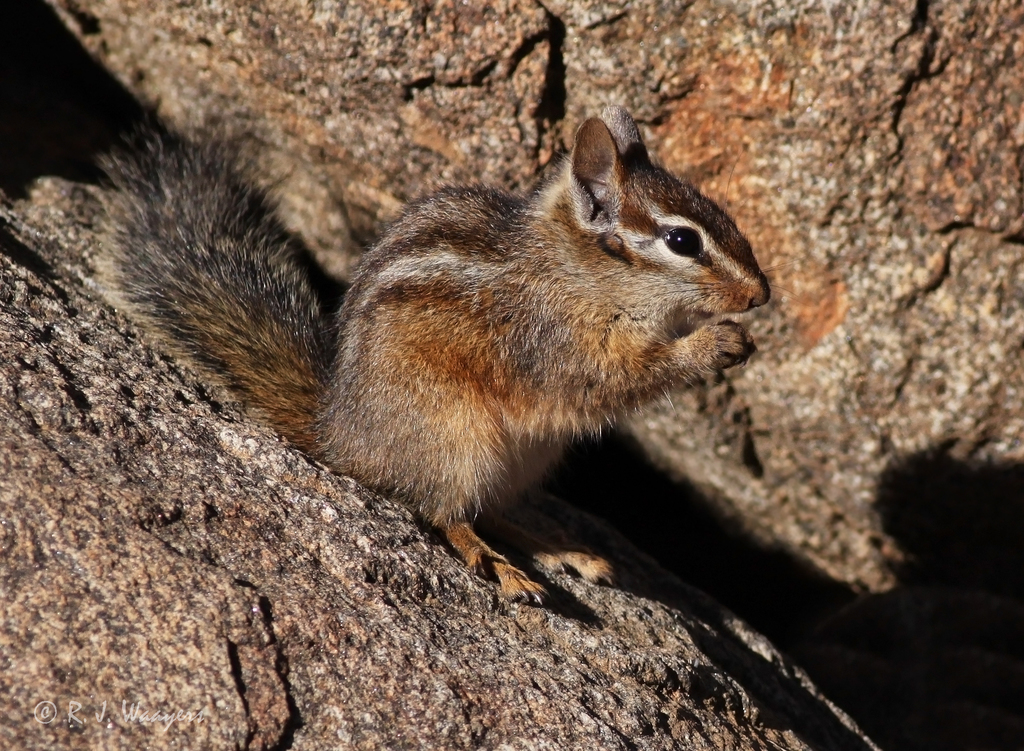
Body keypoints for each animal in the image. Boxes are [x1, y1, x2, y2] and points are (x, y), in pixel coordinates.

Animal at [98, 106, 770, 603]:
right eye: (682, 240)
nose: (761, 294)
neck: (579, 270)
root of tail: (342, 437)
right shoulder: (556, 343)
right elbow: (618, 376)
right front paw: (715, 343)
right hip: (457, 436)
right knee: (447, 512)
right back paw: (500, 567)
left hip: (523, 456)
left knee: (490, 510)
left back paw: (561, 549)